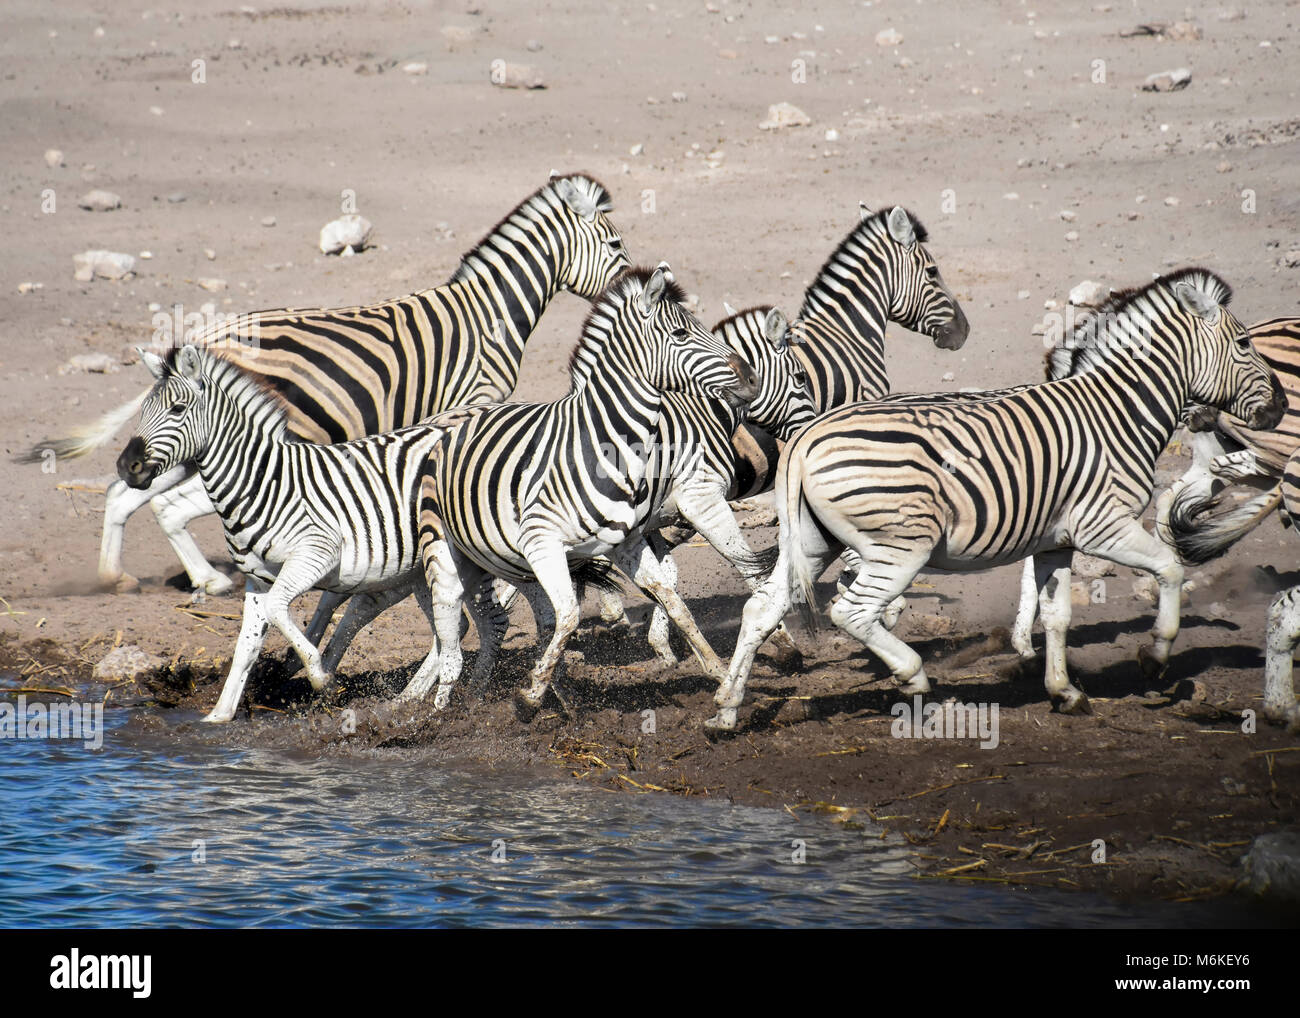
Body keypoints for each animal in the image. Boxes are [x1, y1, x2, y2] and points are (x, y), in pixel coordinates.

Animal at [27, 172, 629, 596]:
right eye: (616, 247)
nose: (637, 283)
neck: (489, 314)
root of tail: (206, 335)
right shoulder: (471, 402)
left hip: (183, 449)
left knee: (124, 491)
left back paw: (121, 577)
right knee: (156, 501)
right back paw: (204, 580)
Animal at [116, 346, 450, 724]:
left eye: (177, 409)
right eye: (142, 411)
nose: (126, 466)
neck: (264, 483)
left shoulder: (316, 554)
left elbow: (278, 608)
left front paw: (321, 678)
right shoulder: (256, 580)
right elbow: (246, 646)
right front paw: (219, 715)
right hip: (418, 570)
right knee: (447, 631)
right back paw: (410, 698)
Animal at [400, 265, 759, 716]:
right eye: (680, 333)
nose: (752, 379)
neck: (603, 444)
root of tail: (454, 423)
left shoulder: (625, 544)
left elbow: (672, 601)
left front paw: (718, 672)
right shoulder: (543, 540)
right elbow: (571, 617)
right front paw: (529, 696)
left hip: (511, 564)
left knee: (530, 620)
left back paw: (560, 697)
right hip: (448, 555)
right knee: (450, 635)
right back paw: (439, 710)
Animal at [709, 268, 1287, 731]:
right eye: (1243, 344)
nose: (1281, 406)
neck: (1118, 412)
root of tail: (807, 437)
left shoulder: (1056, 541)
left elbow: (1057, 617)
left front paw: (1064, 692)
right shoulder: (1105, 524)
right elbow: (1169, 567)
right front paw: (1155, 654)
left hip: (813, 543)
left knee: (762, 608)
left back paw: (727, 710)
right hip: (901, 546)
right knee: (852, 611)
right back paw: (913, 676)